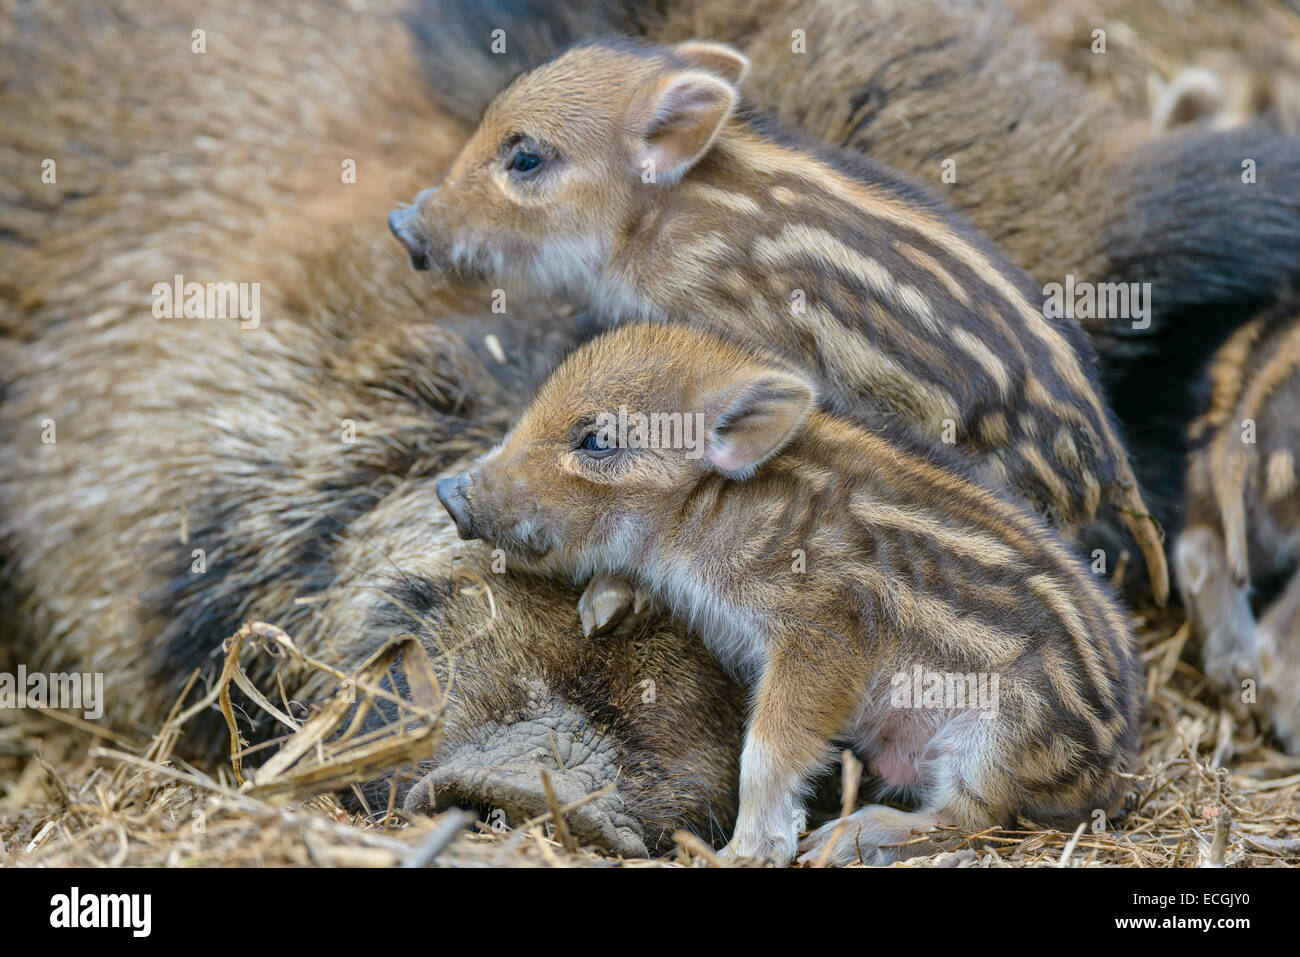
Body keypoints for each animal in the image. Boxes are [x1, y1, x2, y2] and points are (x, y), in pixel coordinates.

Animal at [437, 322, 1142, 865]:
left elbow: (768, 751)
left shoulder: (823, 630)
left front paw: (742, 854)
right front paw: (600, 608)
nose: (450, 491)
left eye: (596, 440)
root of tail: (1113, 764)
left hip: (1000, 736)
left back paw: (853, 835)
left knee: (971, 815)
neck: (709, 511)